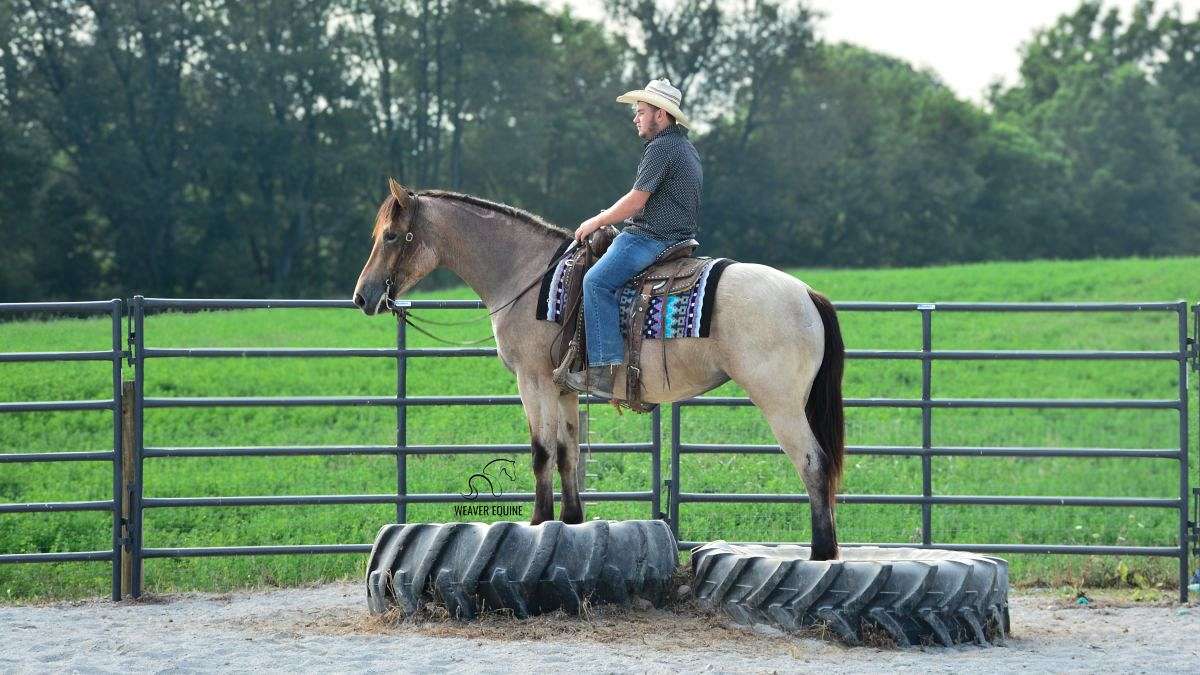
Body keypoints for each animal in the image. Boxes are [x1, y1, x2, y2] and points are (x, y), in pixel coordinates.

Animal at [352, 179, 847, 560]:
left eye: (392, 235)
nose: (362, 296)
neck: (525, 275)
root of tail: (807, 293)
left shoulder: (533, 380)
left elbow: (541, 451)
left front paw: (537, 521)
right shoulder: (565, 387)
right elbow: (568, 451)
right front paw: (571, 522)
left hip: (780, 404)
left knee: (812, 462)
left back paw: (822, 552)